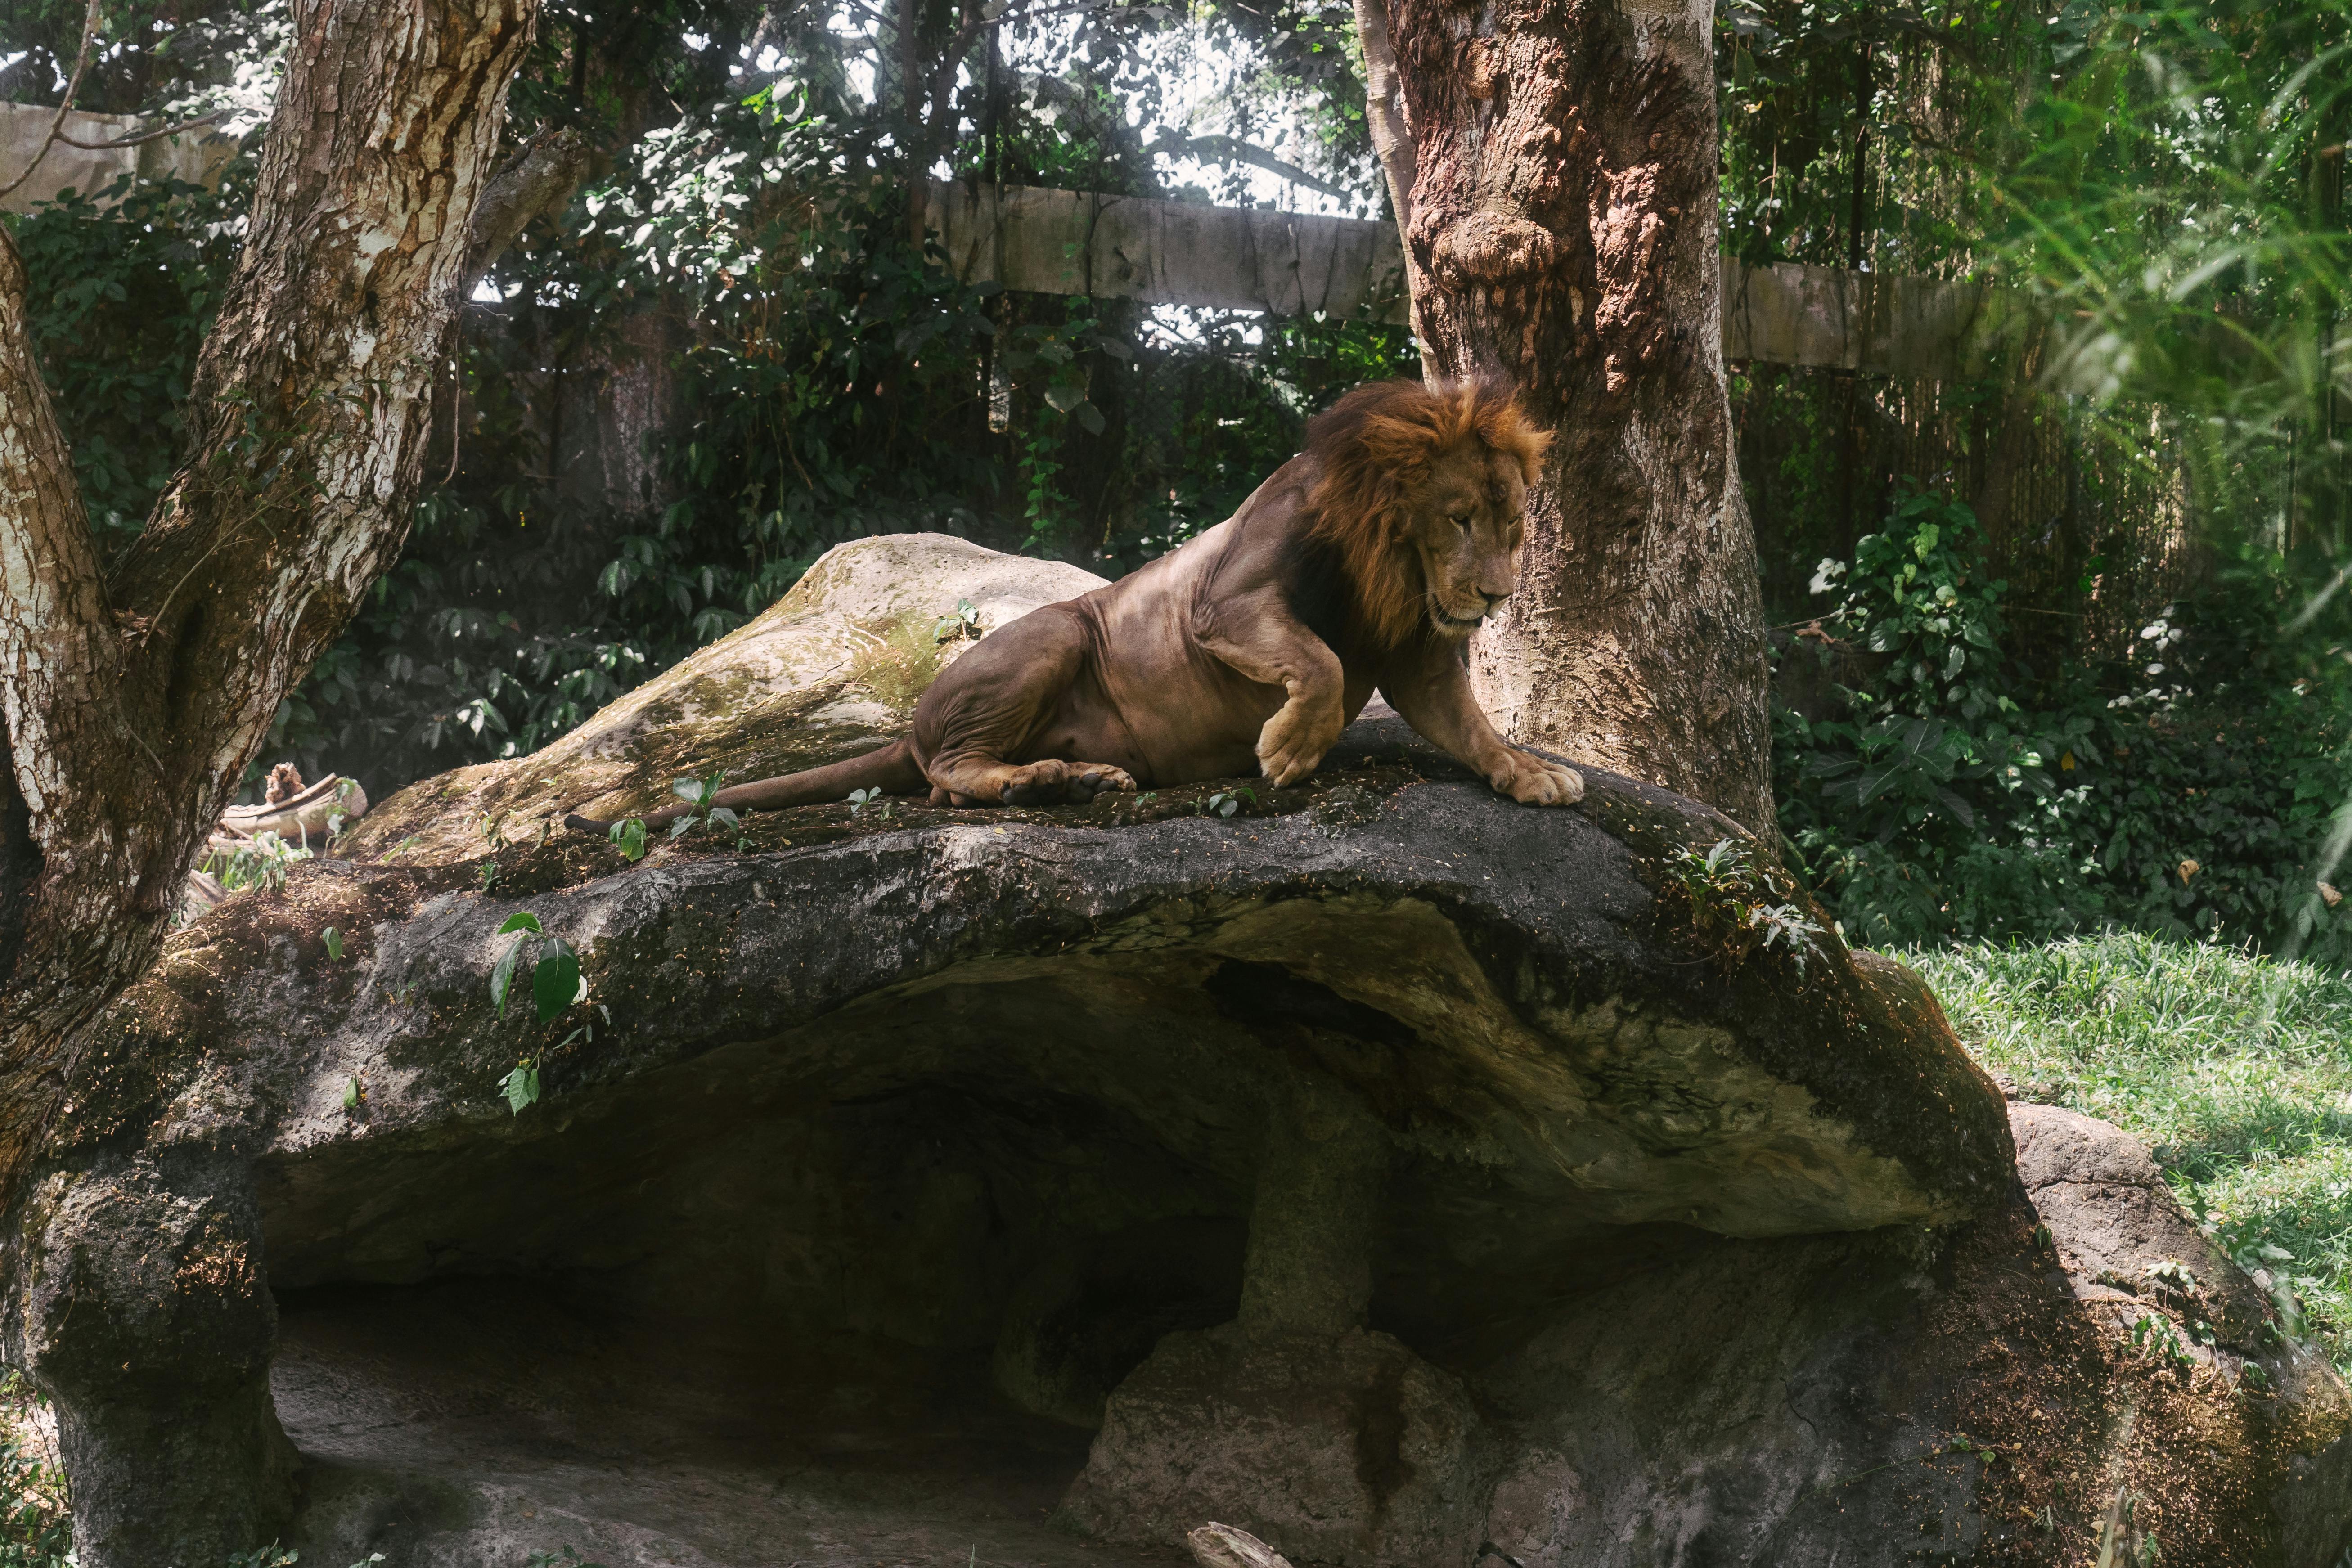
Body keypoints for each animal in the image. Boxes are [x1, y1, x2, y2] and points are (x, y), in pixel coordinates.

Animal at [566, 378, 1584, 833]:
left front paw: (1532, 773)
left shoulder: (1415, 650)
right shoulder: (1226, 601)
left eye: (1513, 528)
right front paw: (1292, 749)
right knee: (944, 774)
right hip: (1056, 631)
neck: (1389, 565)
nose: (1495, 593)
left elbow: (1468, 724)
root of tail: (907, 723)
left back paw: (1079, 778)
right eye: (1457, 518)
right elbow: (1320, 662)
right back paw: (1037, 782)